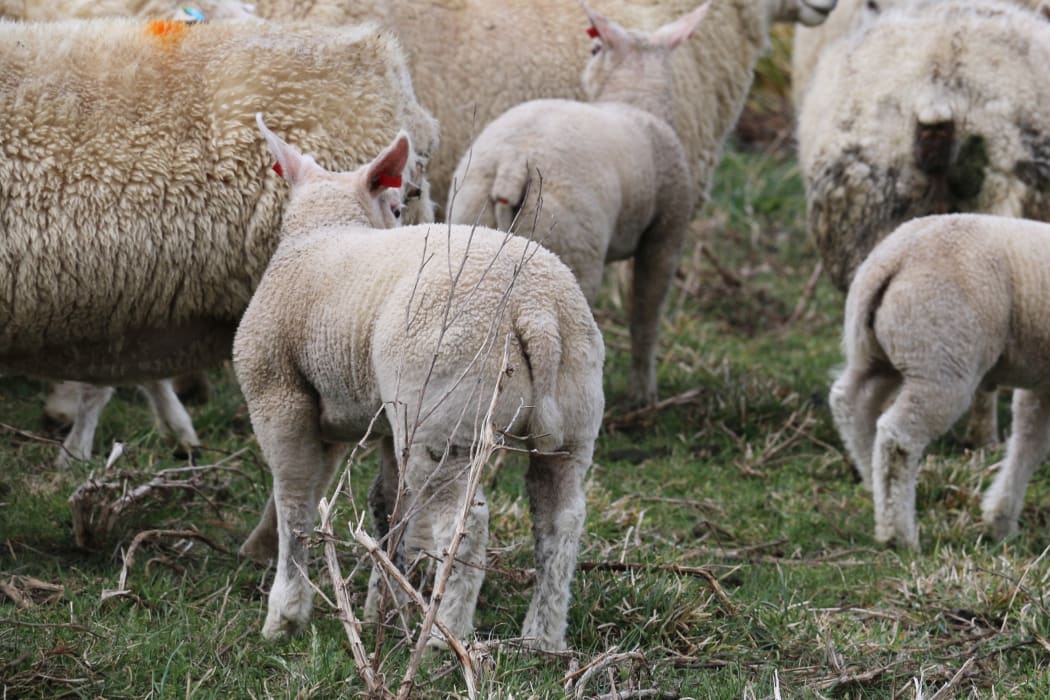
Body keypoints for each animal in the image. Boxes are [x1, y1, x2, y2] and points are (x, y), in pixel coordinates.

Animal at [234, 115, 605, 650]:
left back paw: (443, 637)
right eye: (395, 206)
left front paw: (284, 615)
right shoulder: (386, 422)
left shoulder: (279, 400)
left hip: (445, 419)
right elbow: (389, 506)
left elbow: (295, 503)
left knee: (465, 522)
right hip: (571, 414)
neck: (324, 230)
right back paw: (542, 639)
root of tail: (535, 306)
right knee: (561, 519)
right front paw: (382, 606)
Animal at [446, 2, 708, 406]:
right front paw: (644, 392)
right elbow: (645, 315)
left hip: (472, 222)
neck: (636, 102)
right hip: (570, 247)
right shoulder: (666, 232)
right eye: (595, 47)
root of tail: (512, 163)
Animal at [829, 213, 1050, 550]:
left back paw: (872, 483)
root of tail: (895, 257)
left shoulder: (1043, 383)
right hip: (942, 359)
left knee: (850, 401)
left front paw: (1000, 522)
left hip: (882, 352)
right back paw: (899, 536)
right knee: (898, 437)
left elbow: (1030, 440)